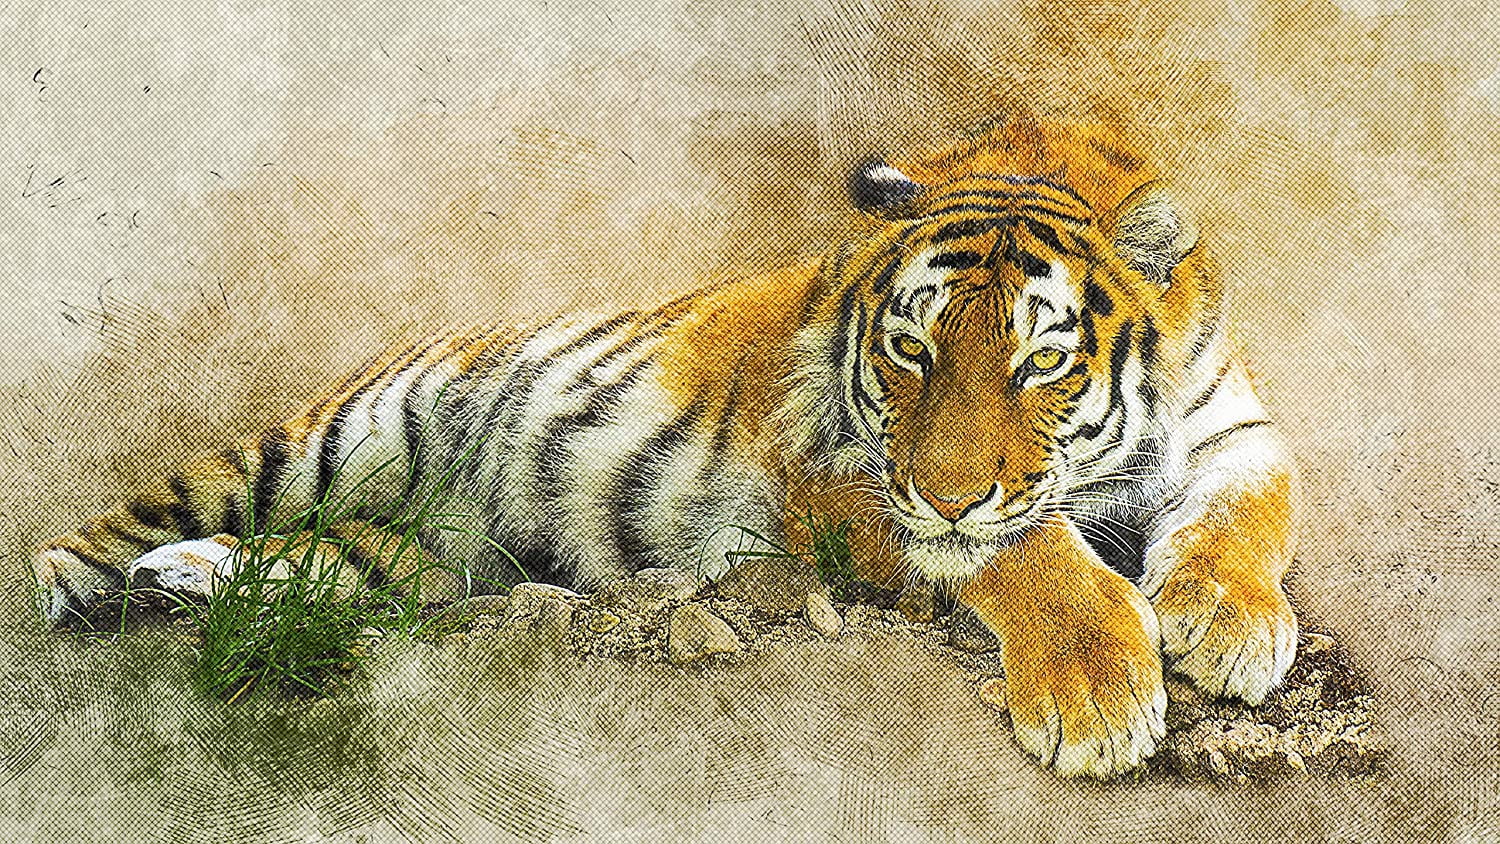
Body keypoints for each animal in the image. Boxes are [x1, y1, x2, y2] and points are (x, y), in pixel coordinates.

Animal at [32, 117, 1299, 778]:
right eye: (911, 350)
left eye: (1042, 362)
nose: (944, 493)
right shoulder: (846, 477)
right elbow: (1025, 548)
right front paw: (1099, 695)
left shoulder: (1235, 426)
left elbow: (1249, 513)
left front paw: (1230, 626)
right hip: (324, 442)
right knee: (113, 525)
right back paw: (85, 591)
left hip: (433, 554)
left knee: (343, 569)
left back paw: (189, 582)